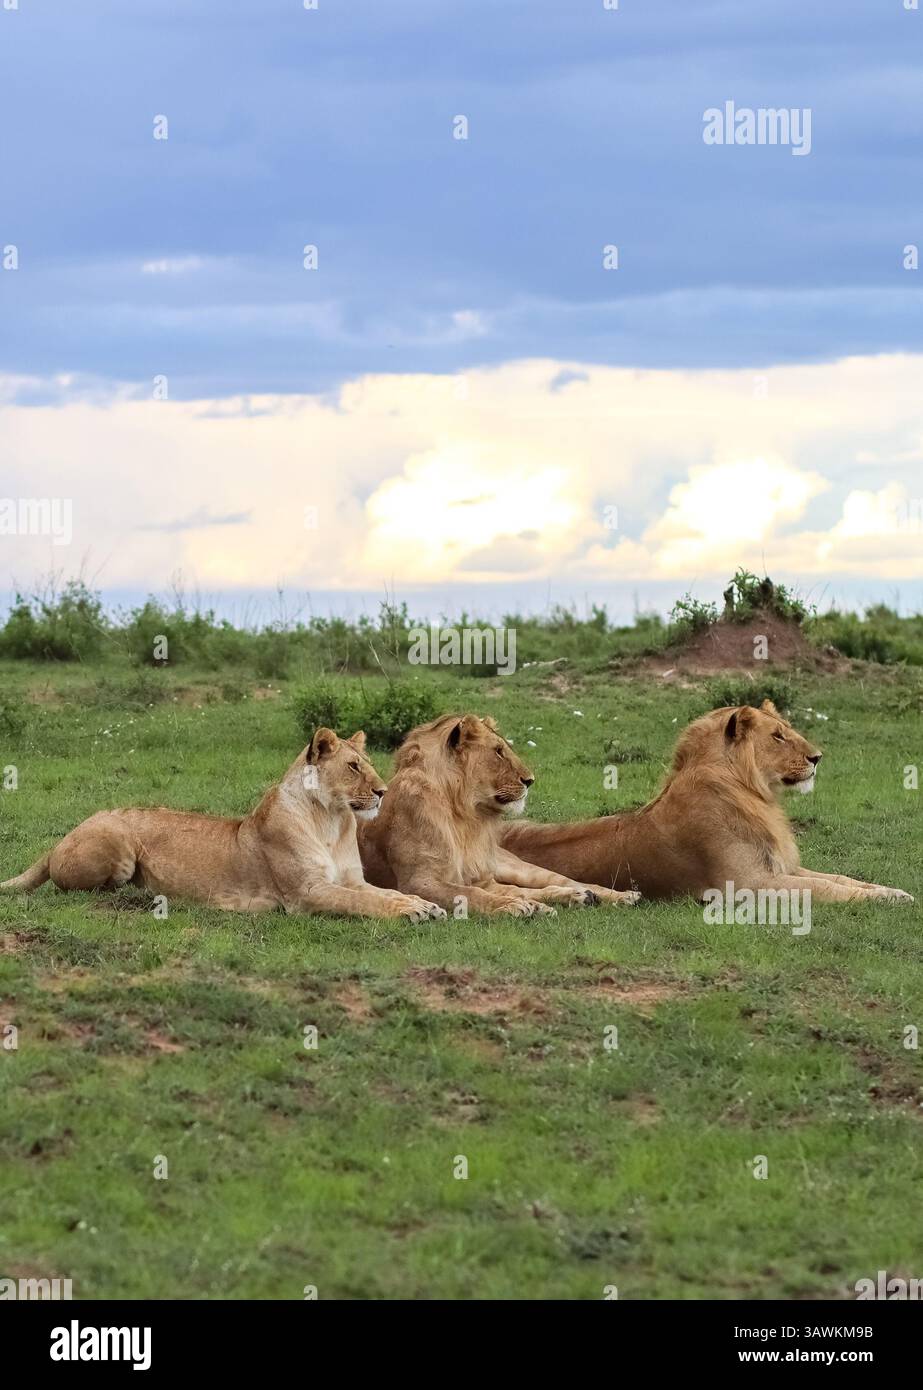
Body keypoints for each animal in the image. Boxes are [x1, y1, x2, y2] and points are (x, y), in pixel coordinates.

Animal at [1, 728, 447, 922]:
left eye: (367, 763)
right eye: (353, 766)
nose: (383, 791)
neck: (332, 821)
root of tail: (63, 837)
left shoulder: (352, 879)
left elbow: (386, 892)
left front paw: (424, 905)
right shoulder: (306, 894)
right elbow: (365, 903)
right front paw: (411, 912)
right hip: (119, 843)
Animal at [358, 713, 640, 915]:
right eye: (498, 751)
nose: (530, 780)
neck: (464, 815)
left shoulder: (481, 879)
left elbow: (502, 892)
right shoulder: (420, 882)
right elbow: (476, 895)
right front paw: (515, 906)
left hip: (516, 867)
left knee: (561, 881)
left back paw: (617, 896)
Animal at [501, 701, 913, 904]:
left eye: (787, 731)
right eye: (778, 736)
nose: (818, 757)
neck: (754, 795)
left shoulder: (780, 867)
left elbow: (840, 878)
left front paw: (893, 892)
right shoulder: (751, 884)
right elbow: (827, 889)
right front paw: (885, 899)